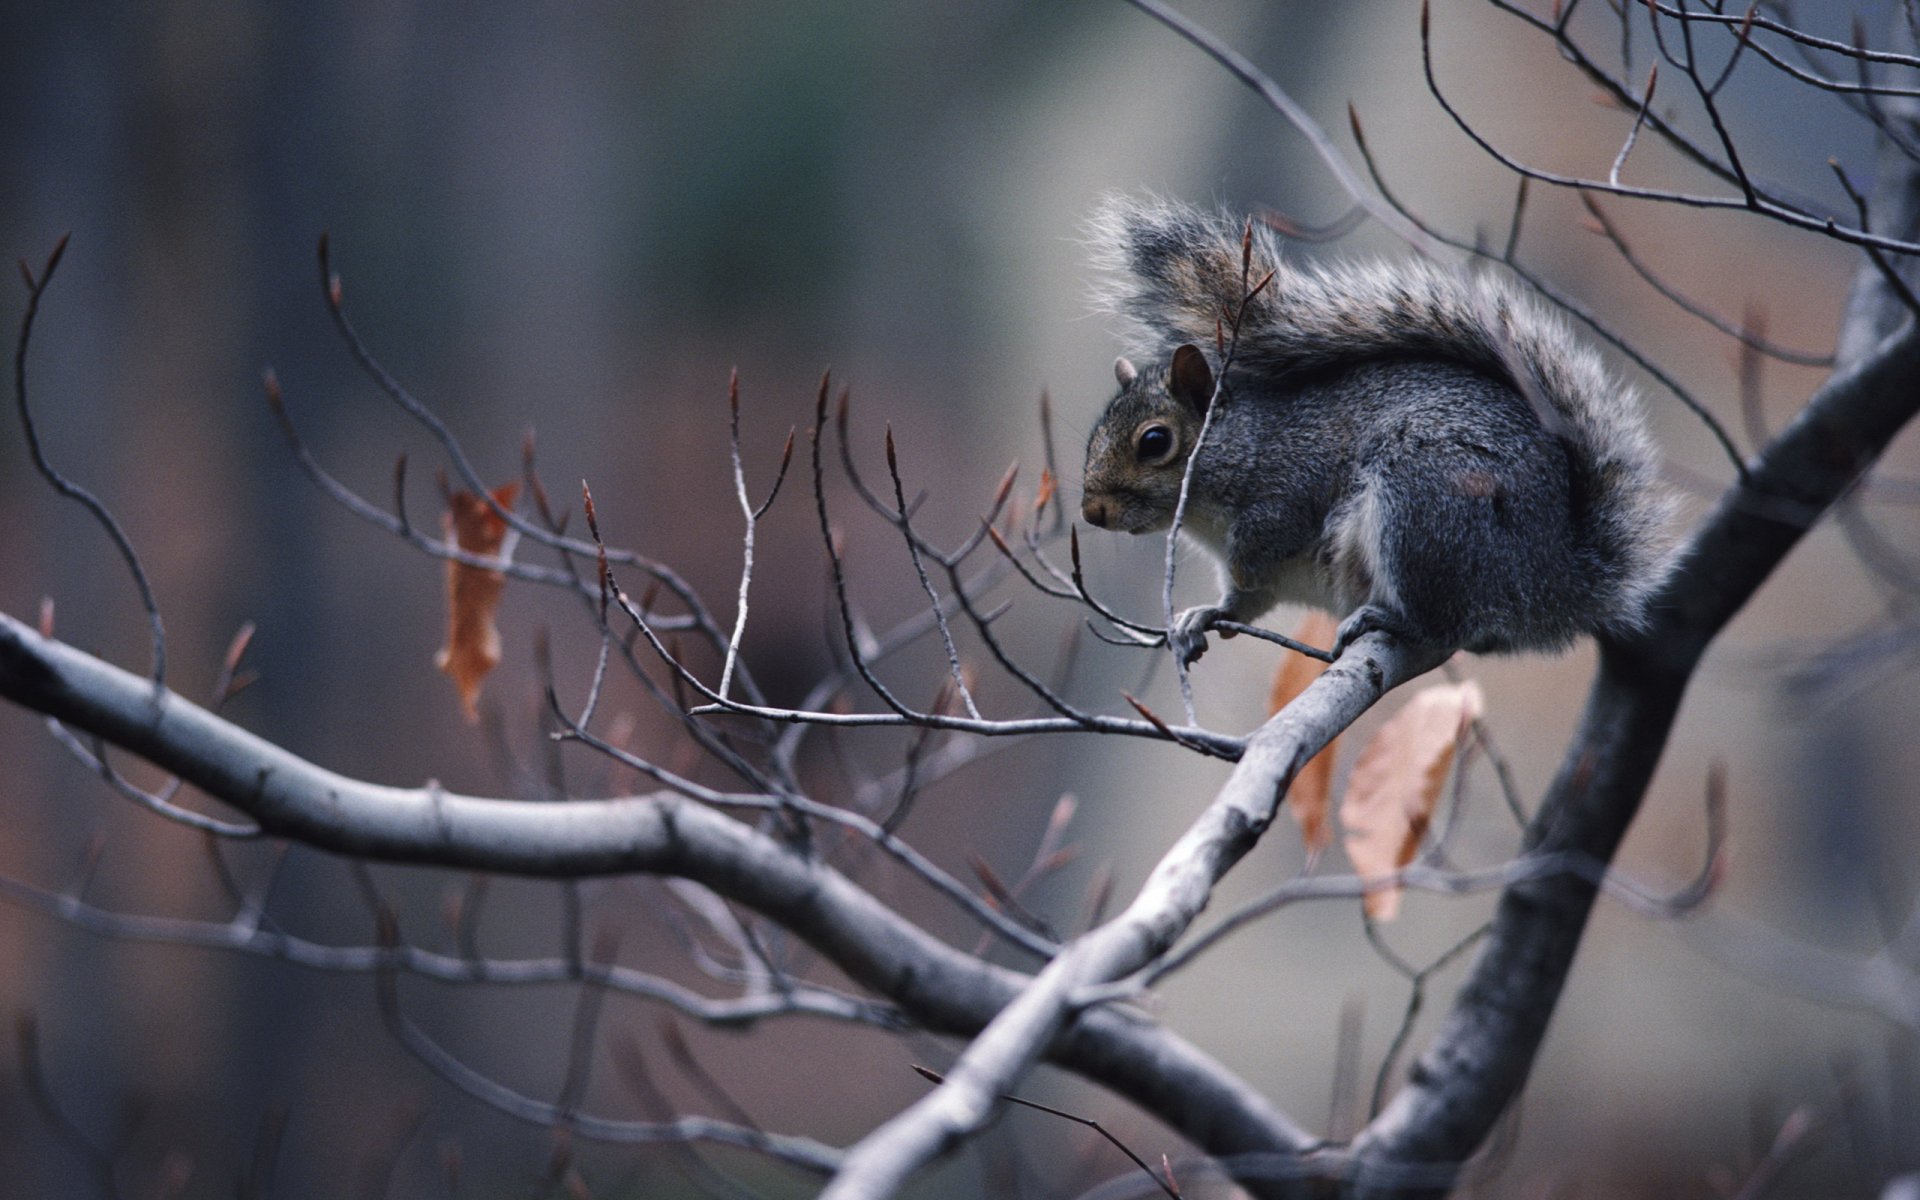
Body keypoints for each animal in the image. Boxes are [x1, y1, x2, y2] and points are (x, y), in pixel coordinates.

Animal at [1079, 197, 1672, 666]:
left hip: (1425, 504)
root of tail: (1556, 580)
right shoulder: (1259, 582)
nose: (1092, 513)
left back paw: (1387, 620)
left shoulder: (1291, 480)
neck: (1241, 448)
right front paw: (1200, 617)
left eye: (1155, 442)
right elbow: (1243, 603)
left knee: (1446, 621)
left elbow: (1274, 533)